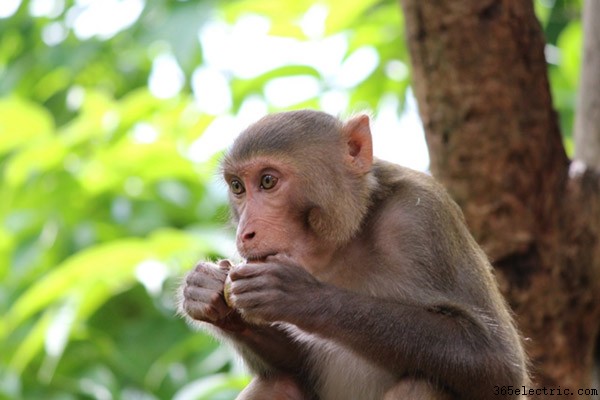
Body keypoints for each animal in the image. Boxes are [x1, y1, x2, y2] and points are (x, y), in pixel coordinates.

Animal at [180, 110, 528, 400]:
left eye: (267, 181)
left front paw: (300, 296)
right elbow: (295, 366)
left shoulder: (422, 217)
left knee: (423, 383)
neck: (348, 236)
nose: (245, 233)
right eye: (238, 187)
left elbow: (497, 364)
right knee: (277, 382)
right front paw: (208, 293)